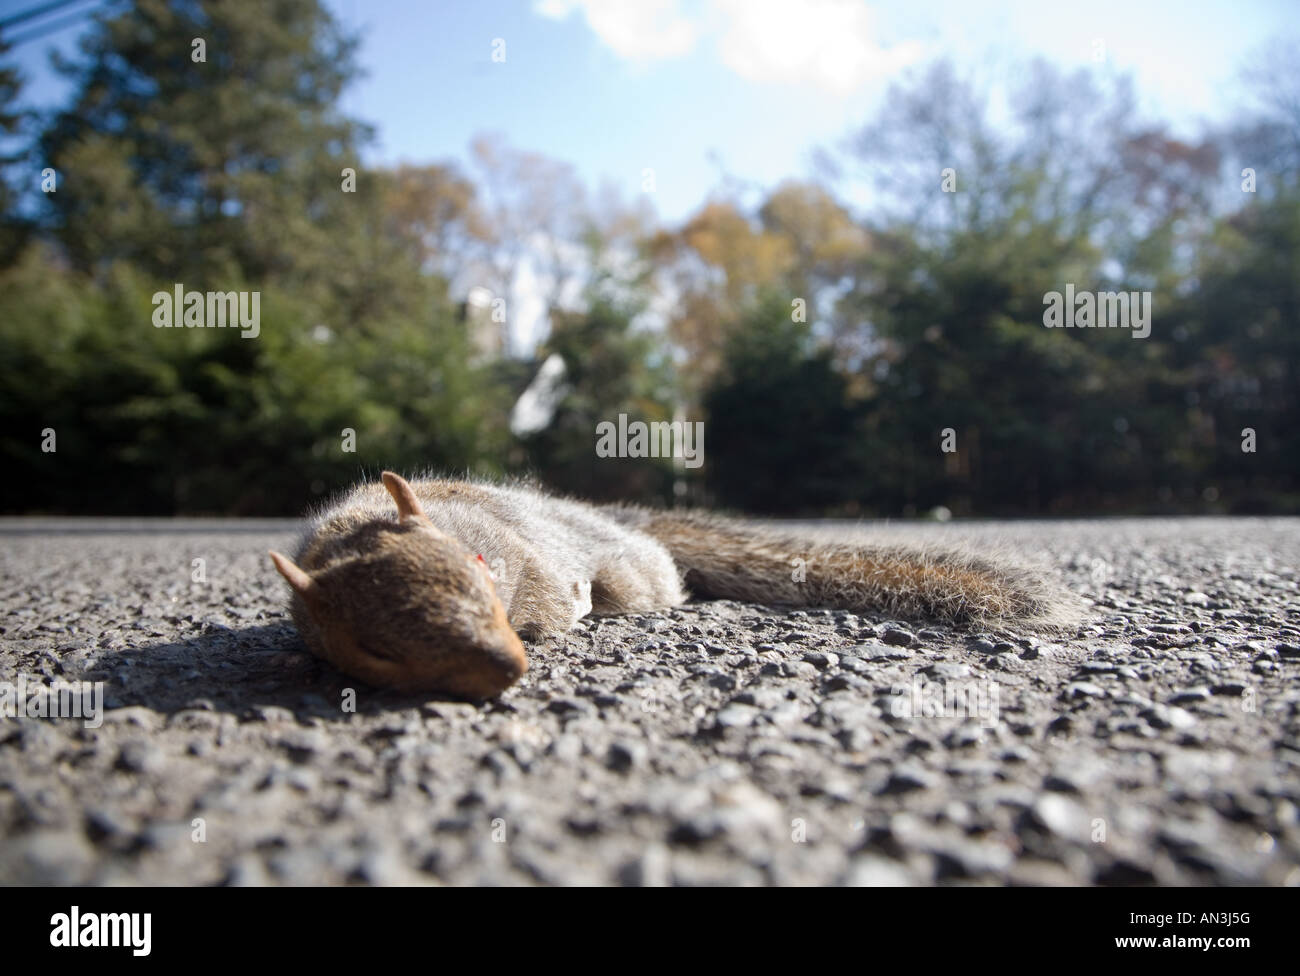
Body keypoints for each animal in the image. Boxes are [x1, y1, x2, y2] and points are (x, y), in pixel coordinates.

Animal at [269, 471, 1077, 699]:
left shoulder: (522, 557)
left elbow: (547, 589)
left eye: (475, 569)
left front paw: (560, 614)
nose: (504, 666)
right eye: (376, 650)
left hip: (628, 569)